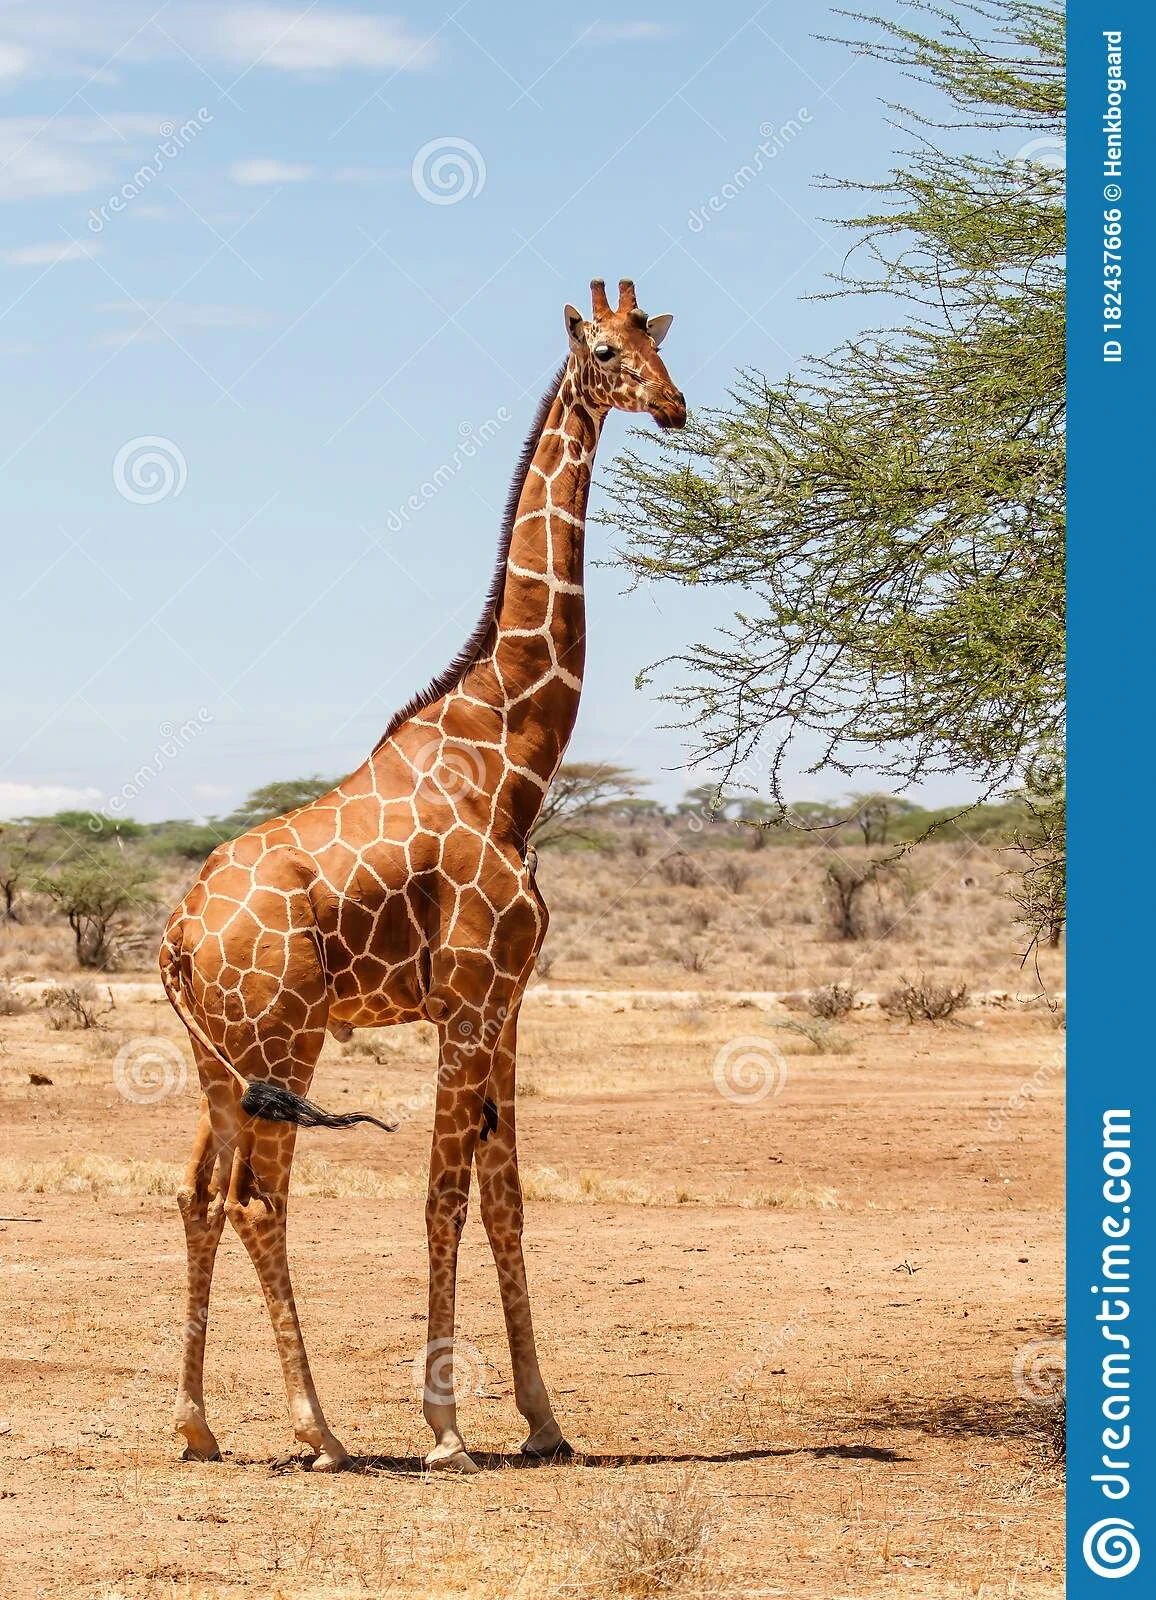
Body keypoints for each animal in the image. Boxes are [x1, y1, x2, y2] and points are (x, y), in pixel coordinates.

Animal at [159, 277, 685, 1475]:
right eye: (601, 350)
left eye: (657, 339)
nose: (675, 406)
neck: (509, 758)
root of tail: (177, 931)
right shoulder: (468, 998)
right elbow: (442, 1197)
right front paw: (446, 1429)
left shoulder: (510, 1005)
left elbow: (506, 1201)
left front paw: (543, 1419)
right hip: (283, 1034)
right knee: (258, 1201)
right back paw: (322, 1431)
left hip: (222, 1056)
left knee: (200, 1194)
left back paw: (199, 1423)